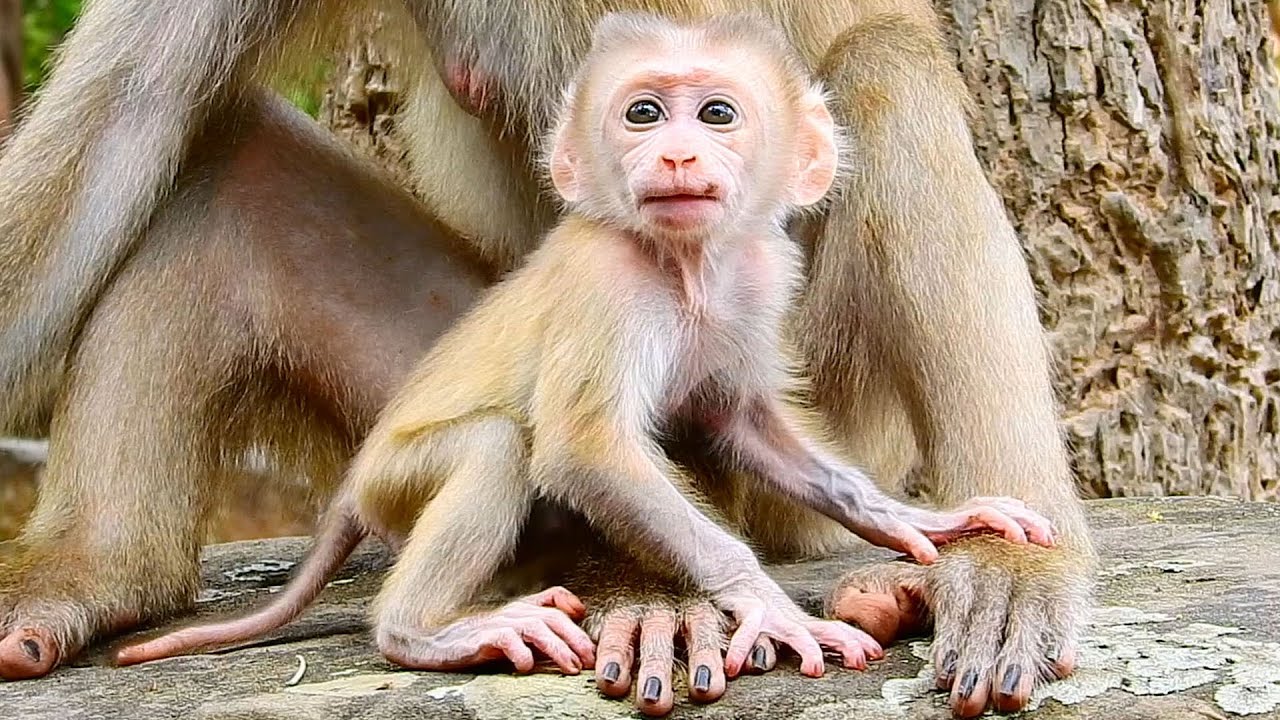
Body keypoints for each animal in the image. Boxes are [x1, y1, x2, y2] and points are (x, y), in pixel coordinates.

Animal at [0, 0, 1097, 716]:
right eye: (646, 119)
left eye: (707, 118)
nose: (676, 155)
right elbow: (120, 128)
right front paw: (660, 596)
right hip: (417, 390)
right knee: (222, 171)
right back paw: (103, 568)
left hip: (824, 388)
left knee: (884, 69)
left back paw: (995, 568)